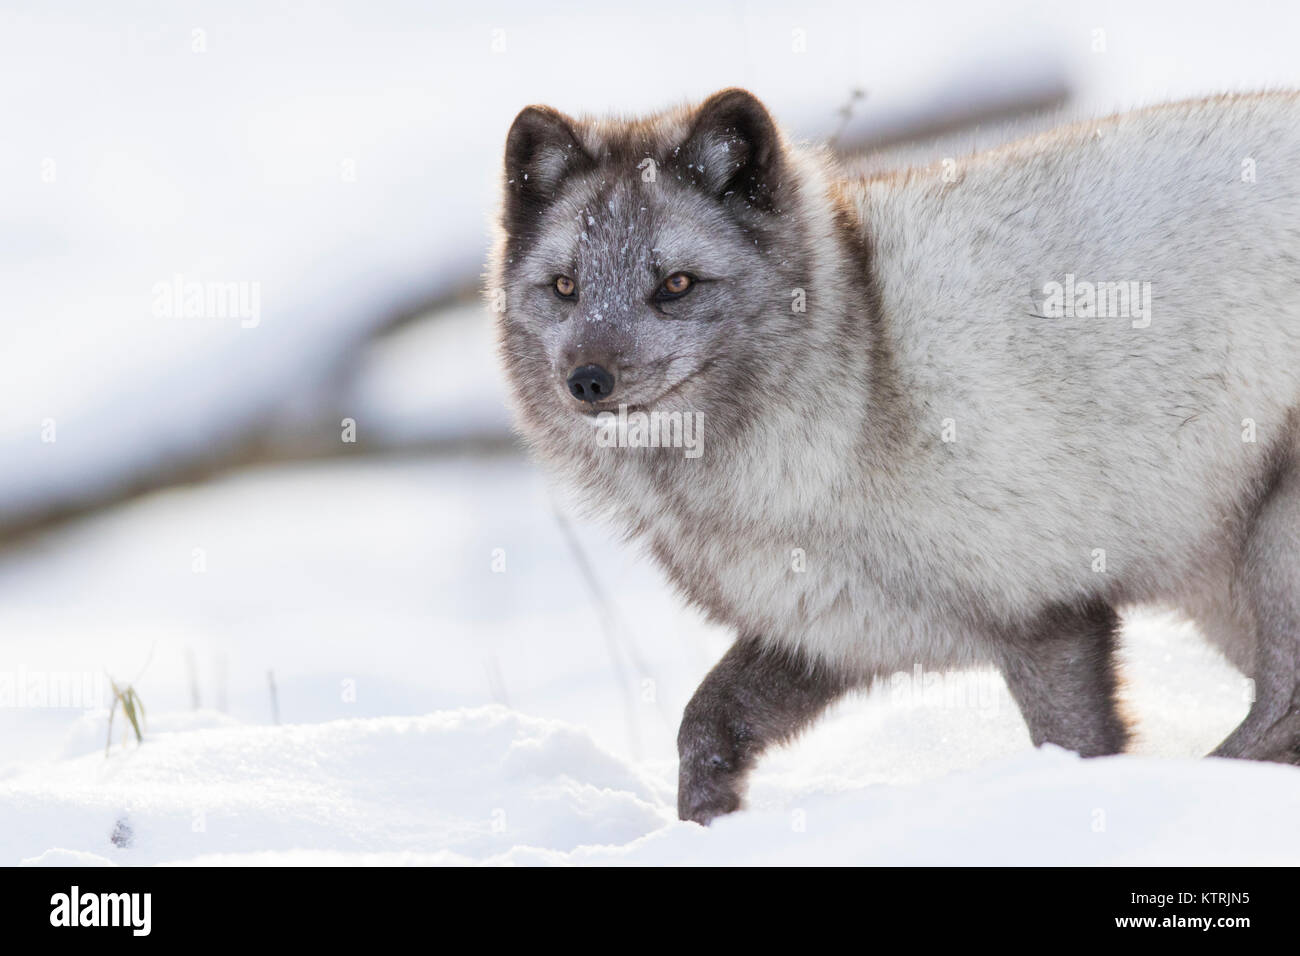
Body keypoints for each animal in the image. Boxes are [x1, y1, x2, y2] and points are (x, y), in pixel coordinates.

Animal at [490, 87, 1300, 824]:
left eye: (676, 285)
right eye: (565, 287)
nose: (587, 380)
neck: (857, 377)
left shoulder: (1047, 618)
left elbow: (1076, 745)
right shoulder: (832, 628)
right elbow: (705, 722)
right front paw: (708, 826)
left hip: (1270, 544)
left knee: (1281, 711)